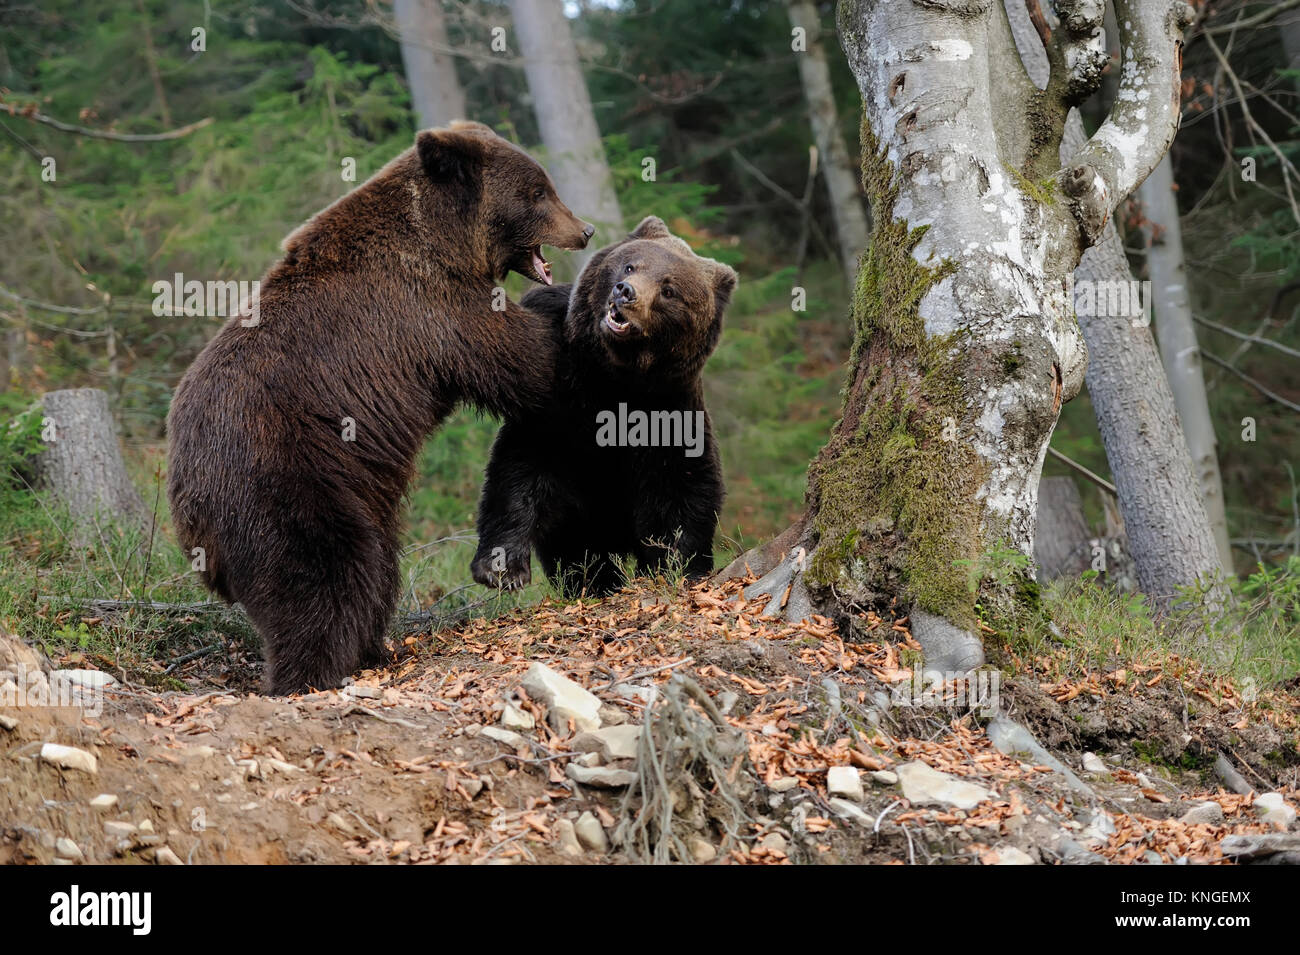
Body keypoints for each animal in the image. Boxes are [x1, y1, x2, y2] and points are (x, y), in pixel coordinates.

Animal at [166, 121, 593, 694]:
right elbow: (529, 361)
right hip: (284, 480)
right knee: (324, 575)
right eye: (538, 192)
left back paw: (374, 649)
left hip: (352, 489)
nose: (585, 230)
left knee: (377, 566)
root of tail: (187, 506)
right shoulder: (435, 309)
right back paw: (312, 674)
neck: (446, 243)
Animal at [470, 216, 736, 597]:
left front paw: (677, 567)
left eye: (669, 290)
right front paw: (503, 569)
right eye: (630, 265)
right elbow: (522, 470)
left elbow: (683, 491)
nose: (625, 292)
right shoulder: (557, 394)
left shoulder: (668, 410)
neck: (613, 377)